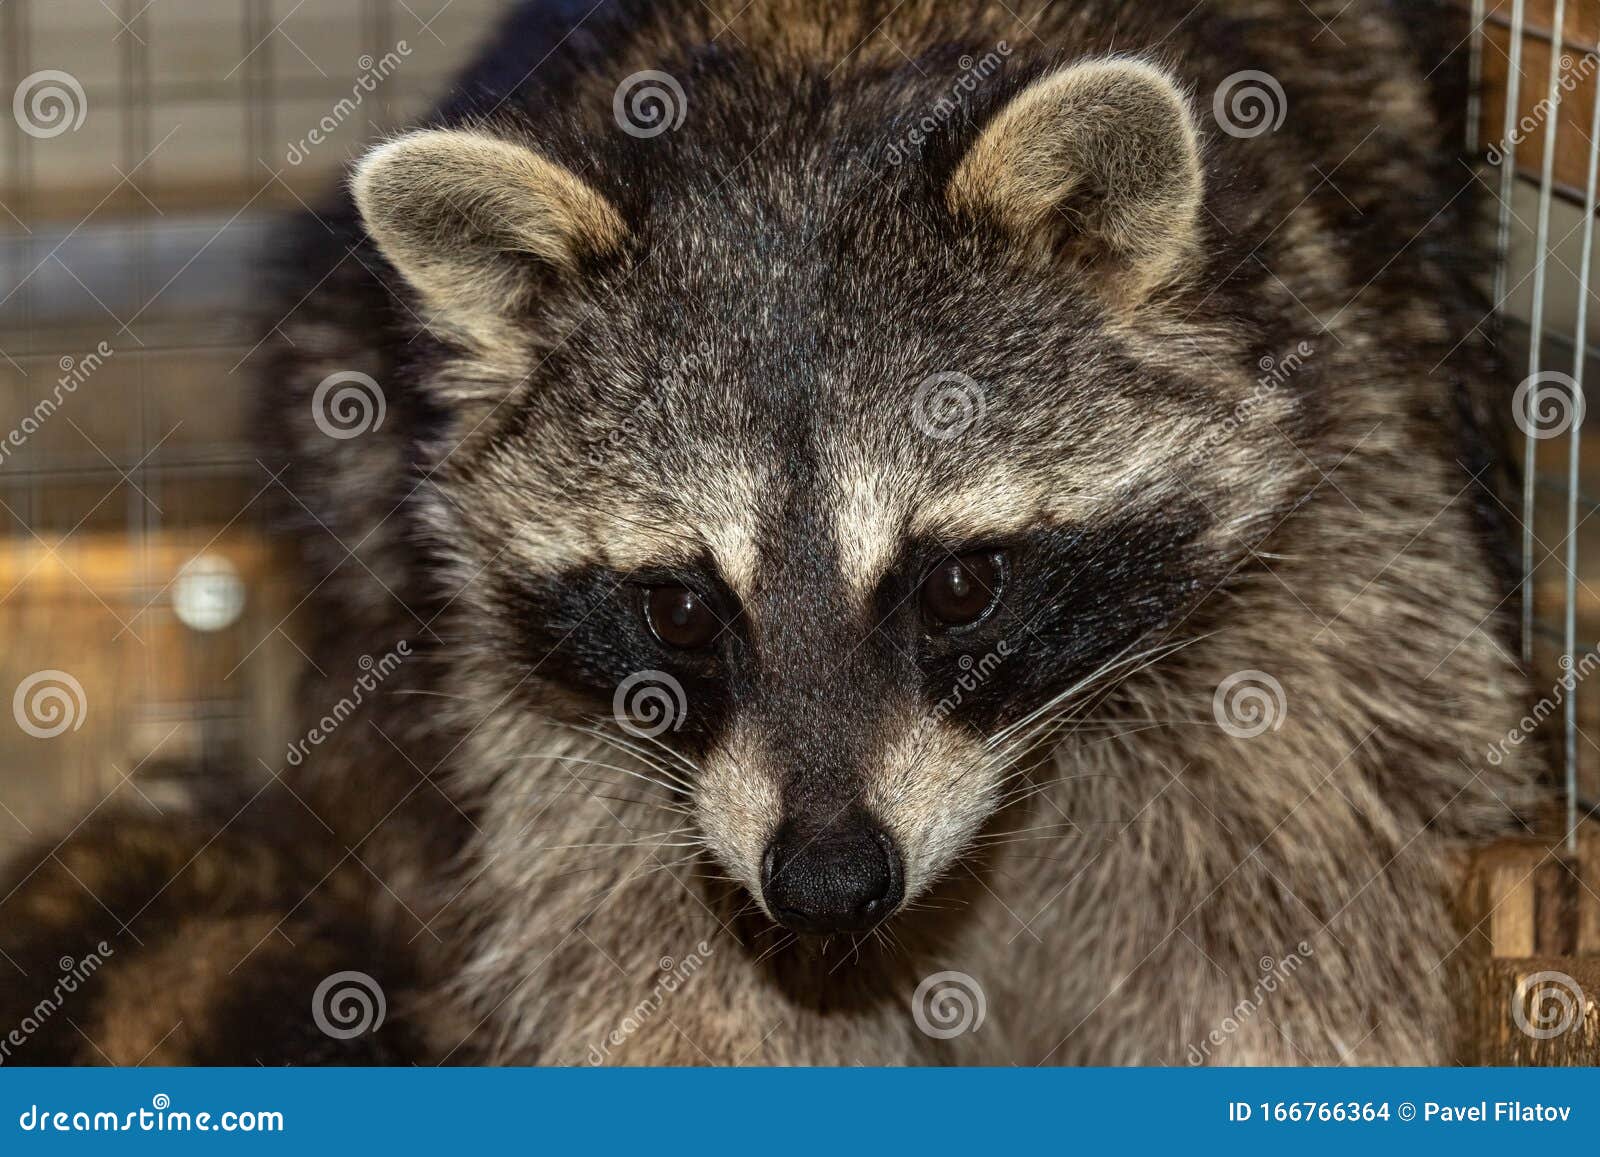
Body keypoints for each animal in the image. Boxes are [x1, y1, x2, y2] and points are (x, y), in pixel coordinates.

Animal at [1, 0, 1543, 1066]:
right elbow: (644, 974)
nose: (828, 883)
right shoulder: (550, 741)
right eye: (683, 605)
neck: (803, 111)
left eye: (962, 584)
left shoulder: (1333, 563)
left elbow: (1294, 933)